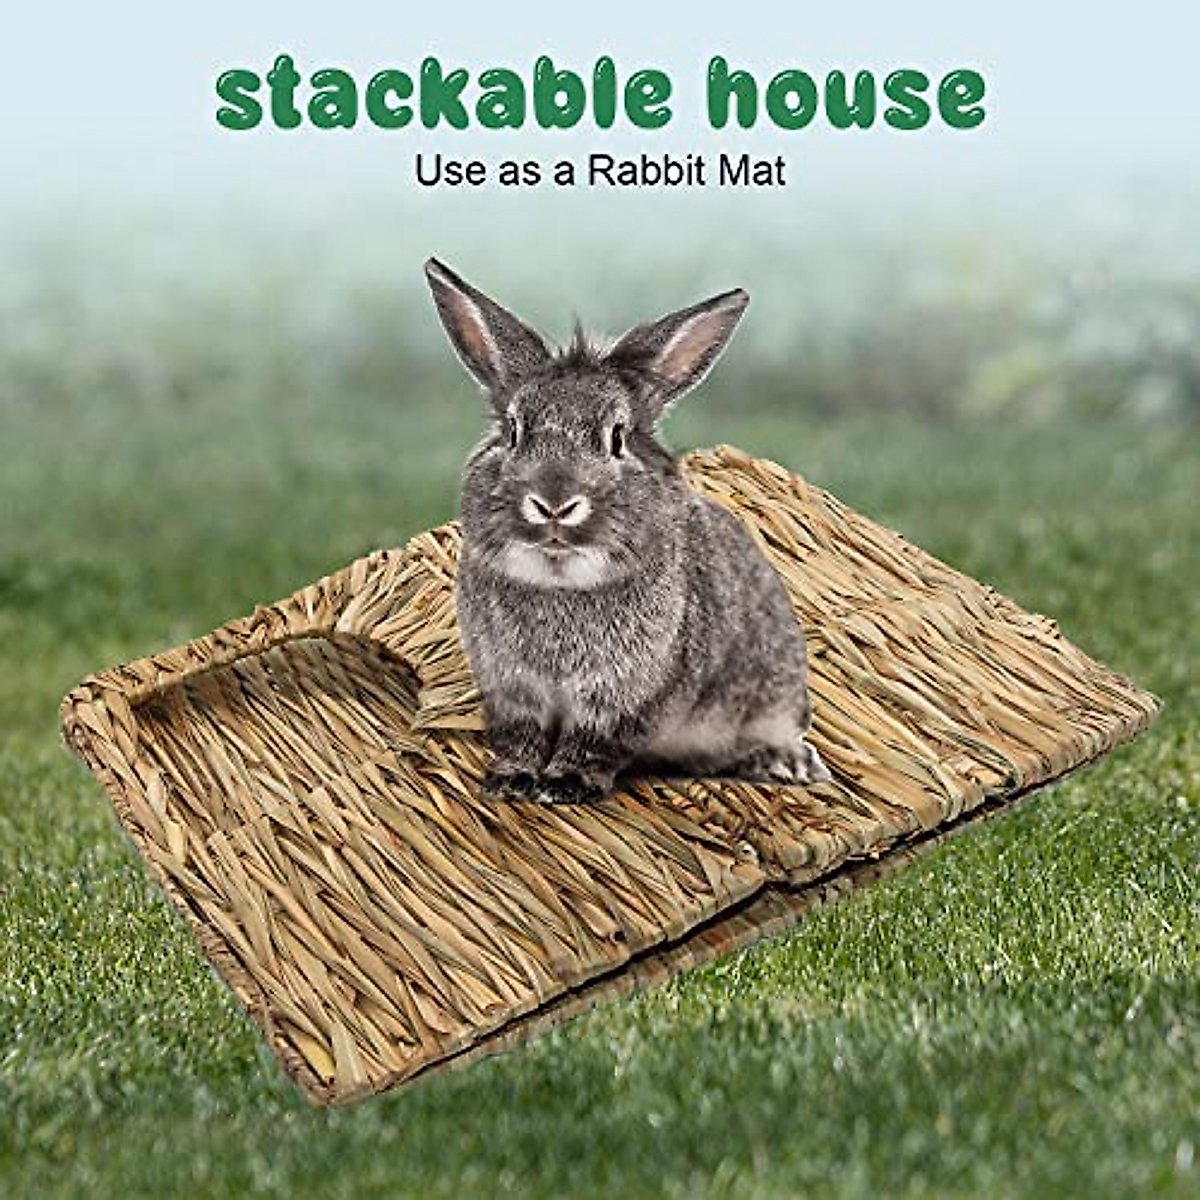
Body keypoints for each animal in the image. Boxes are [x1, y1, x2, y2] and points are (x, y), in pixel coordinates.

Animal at [424, 257, 831, 804]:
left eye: (617, 437)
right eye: (513, 431)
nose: (555, 504)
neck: (560, 582)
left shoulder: (625, 699)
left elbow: (592, 743)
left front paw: (566, 785)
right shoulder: (512, 692)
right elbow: (521, 738)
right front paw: (510, 781)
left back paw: (788, 764)